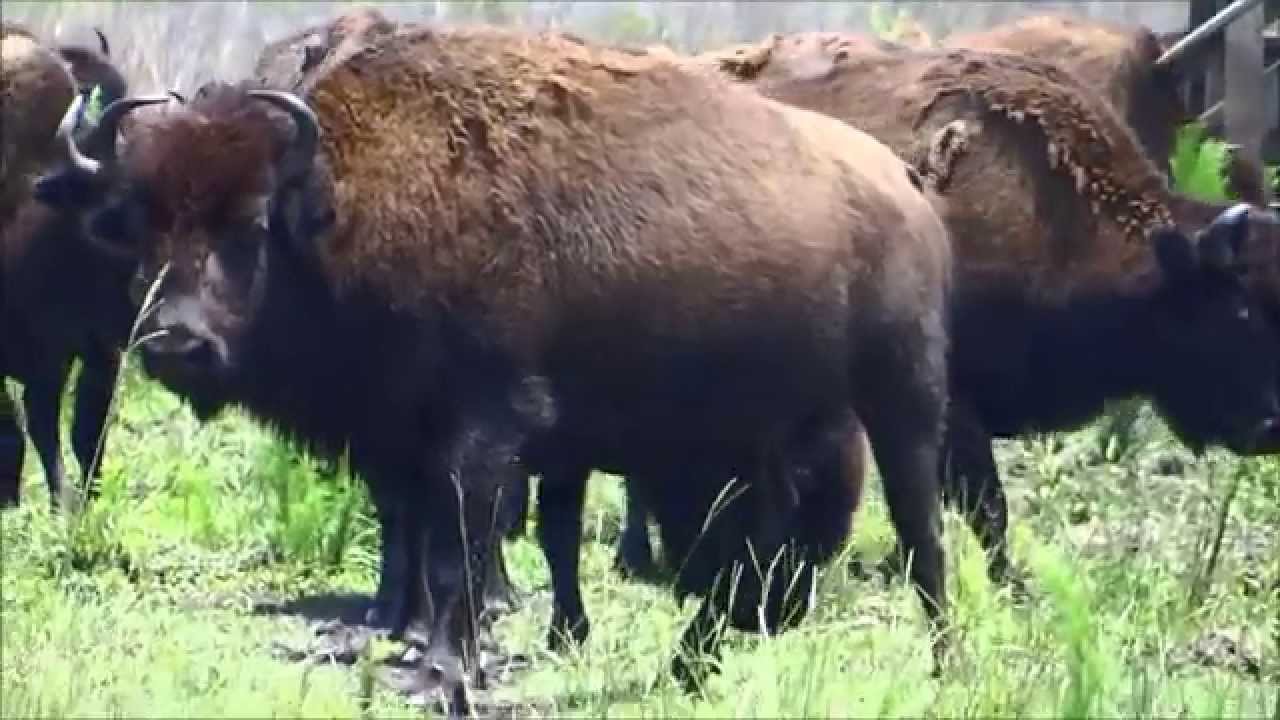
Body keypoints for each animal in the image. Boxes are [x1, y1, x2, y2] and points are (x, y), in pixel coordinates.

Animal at [48, 25, 955, 707]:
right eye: (143, 224)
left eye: (249, 223)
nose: (176, 341)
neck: (345, 202)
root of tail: (903, 185)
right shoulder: (406, 441)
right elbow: (435, 547)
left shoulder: (483, 433)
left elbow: (460, 557)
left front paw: (440, 672)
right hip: (759, 429)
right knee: (763, 551)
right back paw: (690, 670)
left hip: (901, 400)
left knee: (919, 535)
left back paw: (946, 665)